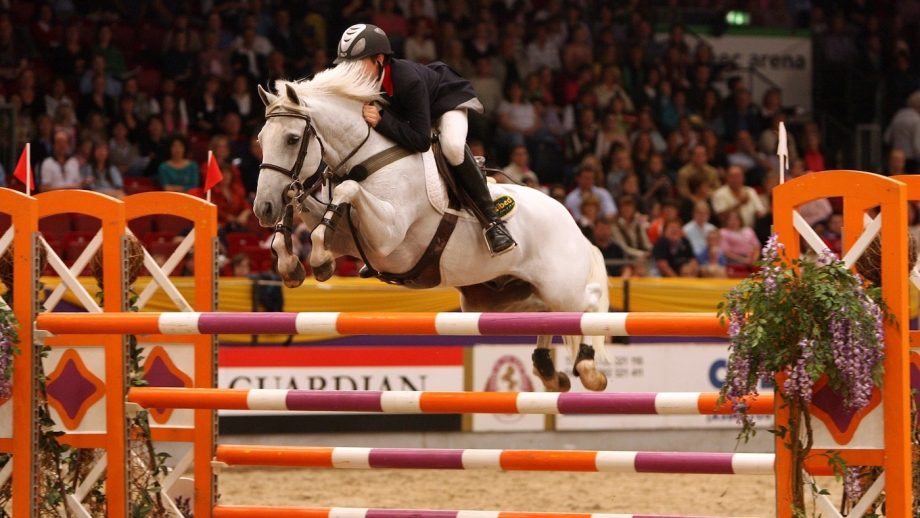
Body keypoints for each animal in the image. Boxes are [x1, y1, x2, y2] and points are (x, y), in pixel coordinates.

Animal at [252, 61, 610, 392]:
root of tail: (572, 223)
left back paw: (589, 367)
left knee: (588, 302)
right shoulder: (349, 240)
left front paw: (316, 260)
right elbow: (304, 211)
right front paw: (292, 264)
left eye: (292, 139)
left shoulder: (388, 237)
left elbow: (347, 191)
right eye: (260, 139)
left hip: (560, 284)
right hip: (498, 296)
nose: (263, 208)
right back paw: (549, 371)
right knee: (548, 313)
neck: (368, 158)